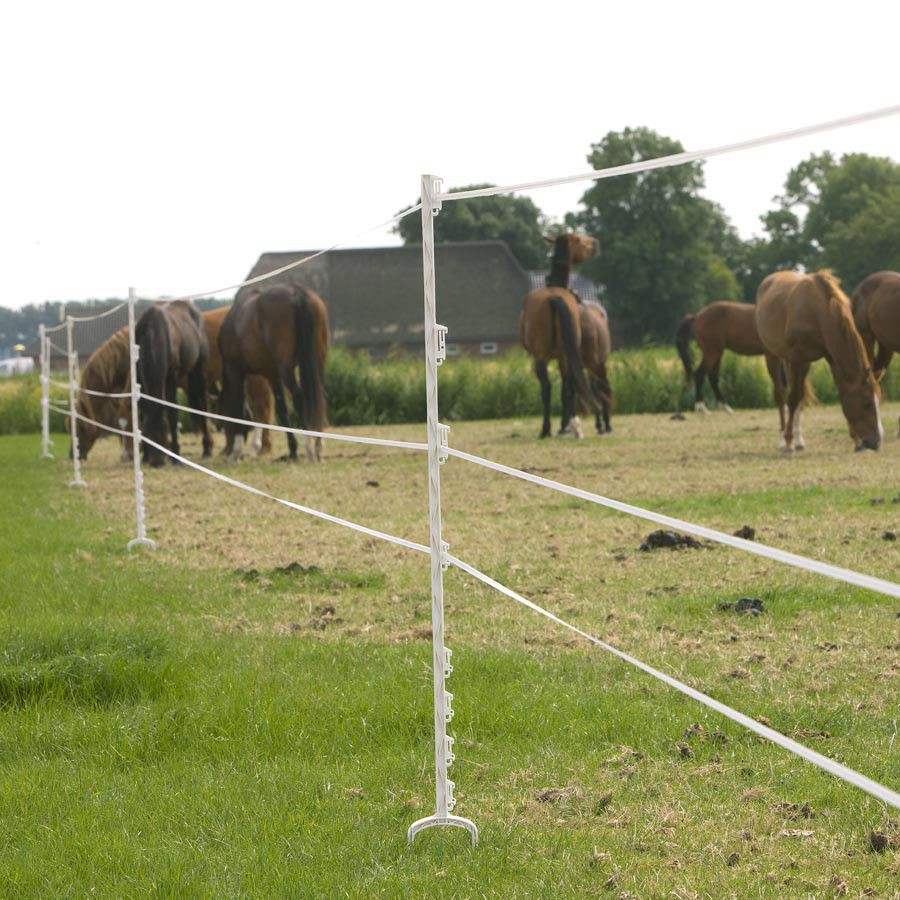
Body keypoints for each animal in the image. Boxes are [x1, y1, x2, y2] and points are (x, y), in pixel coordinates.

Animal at [136, 300, 211, 467]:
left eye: (164, 432)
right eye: (146, 432)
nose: (157, 463)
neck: (154, 335)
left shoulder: (171, 378)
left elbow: (172, 413)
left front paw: (176, 455)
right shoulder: (139, 379)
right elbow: (142, 413)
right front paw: (144, 457)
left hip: (198, 370)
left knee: (202, 405)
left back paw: (207, 448)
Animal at [219, 283, 328, 462]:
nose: (226, 449)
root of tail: (296, 292)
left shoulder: (234, 371)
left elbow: (239, 407)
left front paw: (235, 452)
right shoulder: (272, 374)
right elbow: (282, 409)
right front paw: (292, 450)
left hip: (287, 368)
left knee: (299, 396)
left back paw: (310, 448)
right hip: (318, 360)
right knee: (318, 396)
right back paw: (318, 446)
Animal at [520, 233, 601, 438]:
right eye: (579, 239)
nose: (596, 243)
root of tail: (553, 297)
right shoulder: (564, 357)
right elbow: (567, 389)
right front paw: (567, 424)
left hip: (542, 358)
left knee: (547, 388)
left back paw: (546, 429)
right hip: (563, 355)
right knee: (566, 387)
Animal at [756, 270, 882, 452]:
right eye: (867, 402)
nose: (875, 442)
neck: (817, 312)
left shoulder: (830, 357)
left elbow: (841, 394)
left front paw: (856, 439)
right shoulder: (797, 358)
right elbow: (792, 399)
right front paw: (788, 441)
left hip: (797, 363)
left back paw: (799, 439)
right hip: (772, 356)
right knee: (781, 397)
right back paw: (782, 439)